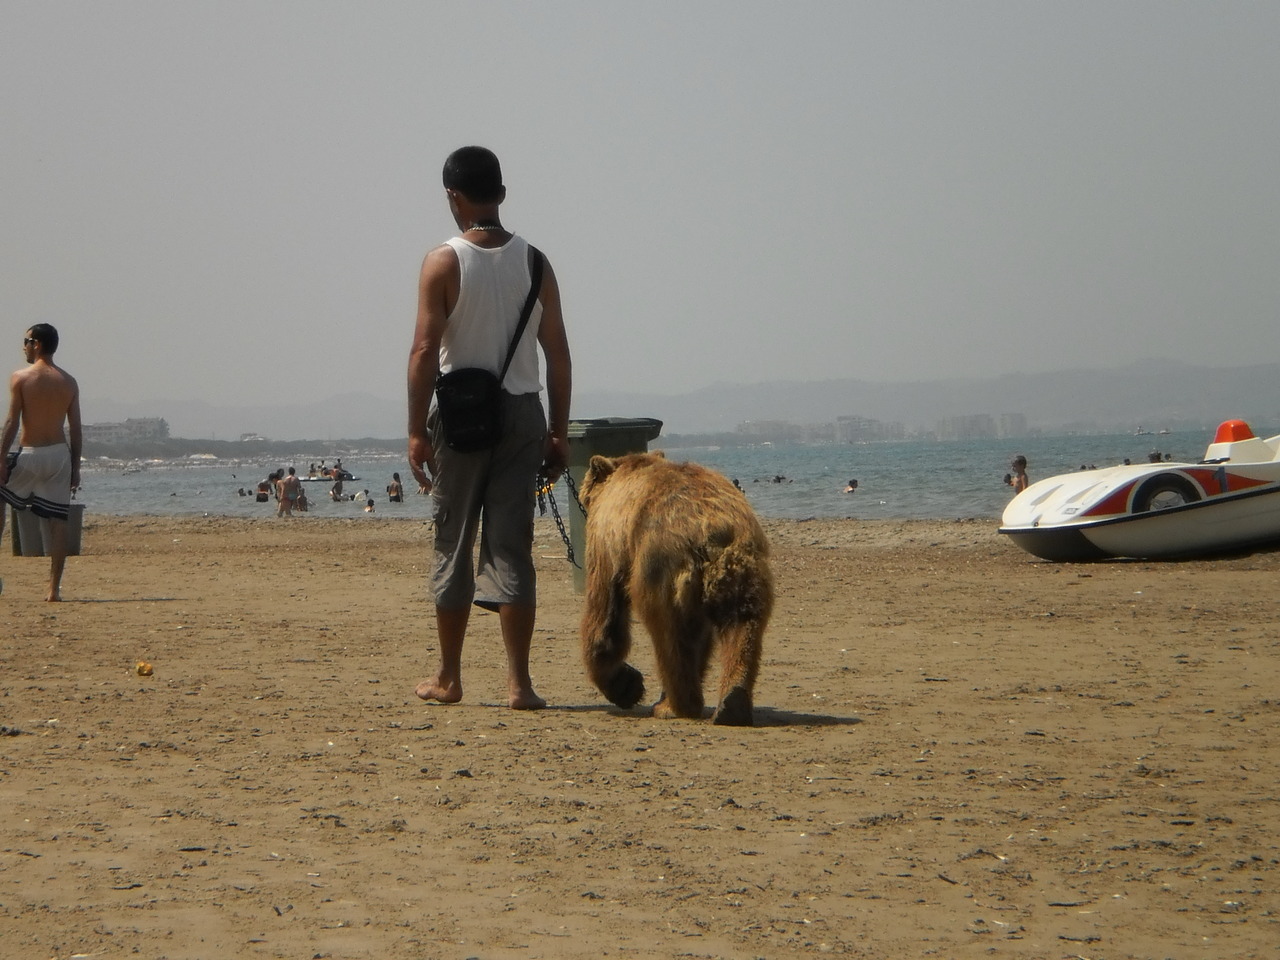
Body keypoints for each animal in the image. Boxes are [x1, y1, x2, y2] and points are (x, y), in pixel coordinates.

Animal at [578, 451, 774, 725]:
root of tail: (711, 529)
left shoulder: (609, 544)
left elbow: (604, 612)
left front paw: (625, 685)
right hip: (742, 571)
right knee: (742, 627)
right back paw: (732, 705)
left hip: (660, 568)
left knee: (671, 637)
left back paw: (673, 705)